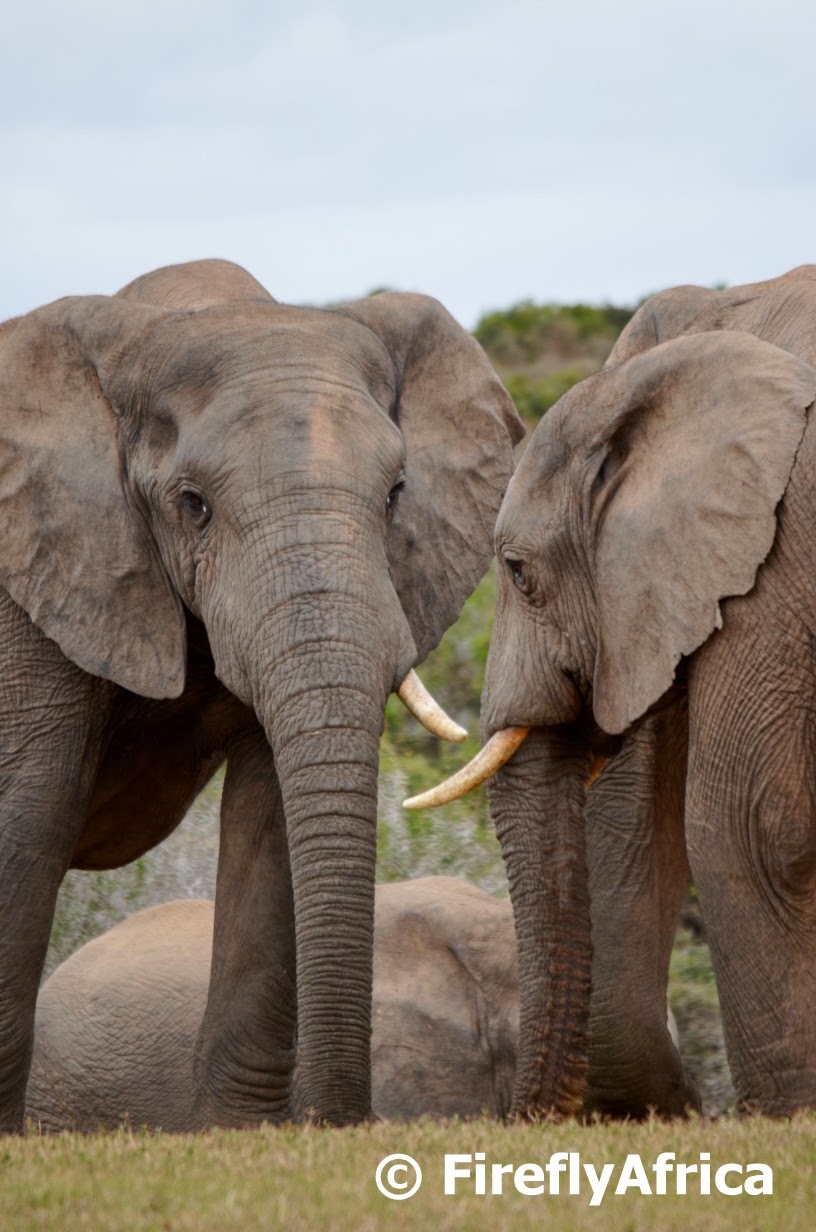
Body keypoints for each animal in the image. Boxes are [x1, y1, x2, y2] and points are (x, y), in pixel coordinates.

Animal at [408, 265, 816, 1118]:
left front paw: (791, 1115)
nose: (689, 1103)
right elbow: (631, 819)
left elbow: (755, 822)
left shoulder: (776, 539)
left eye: (518, 572)